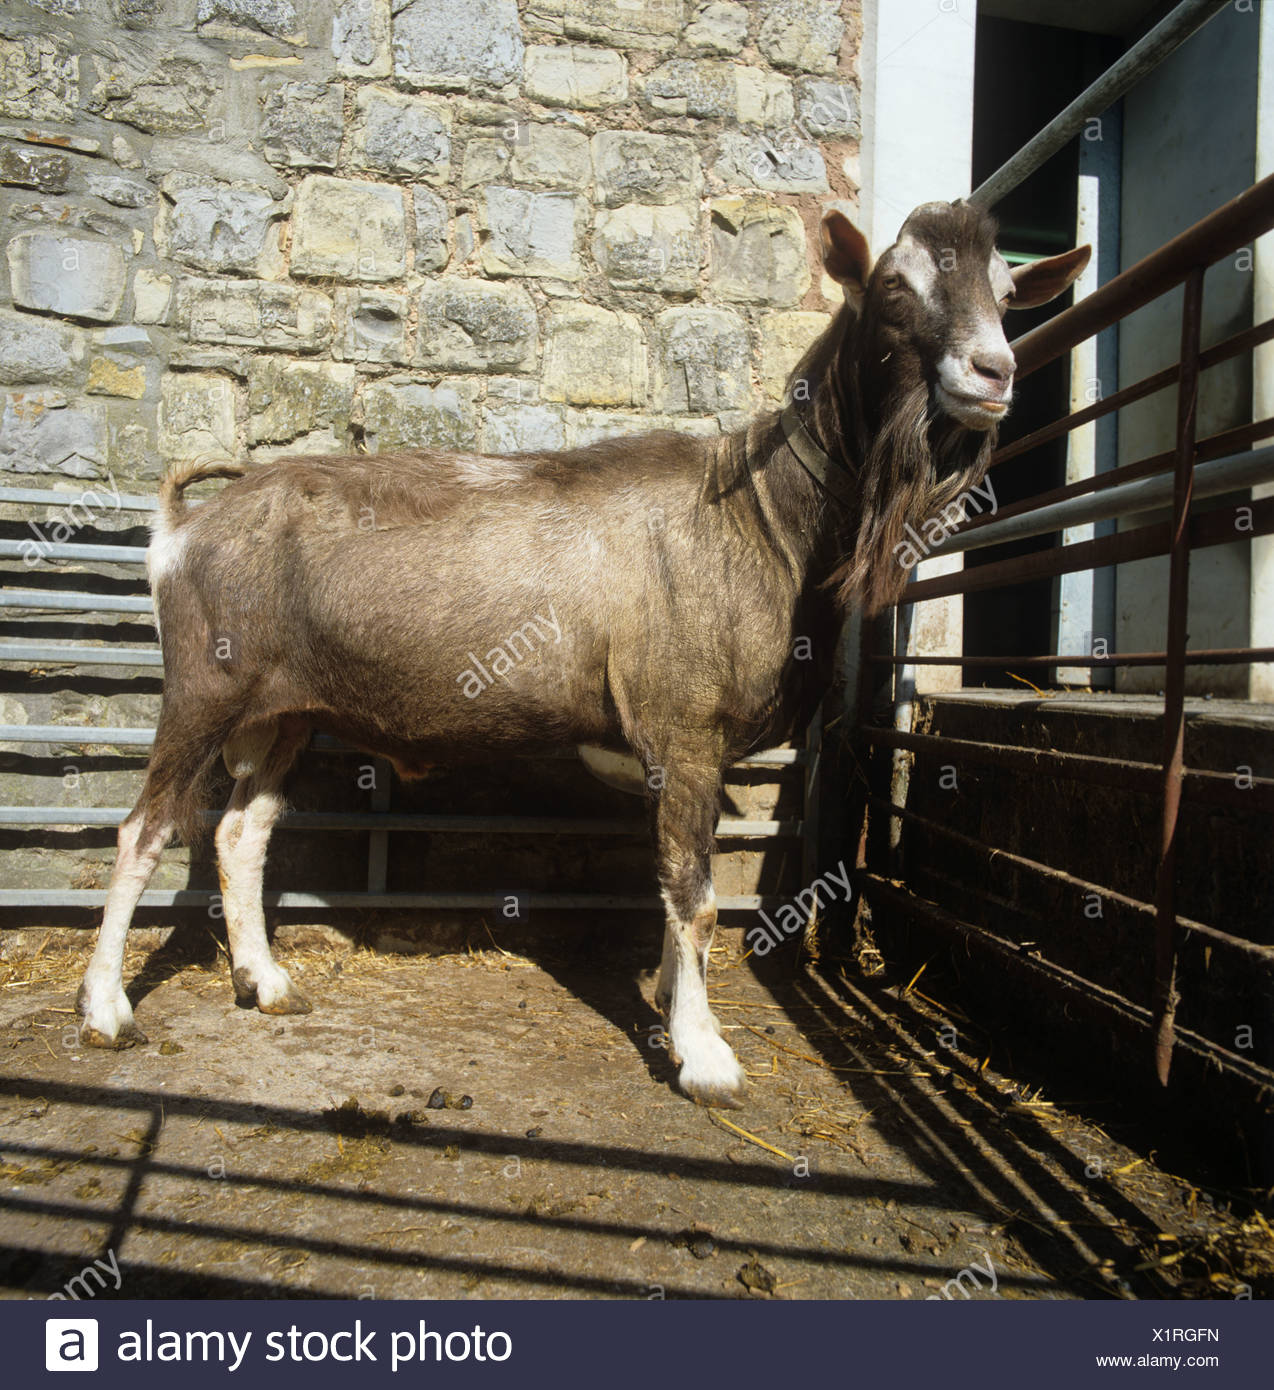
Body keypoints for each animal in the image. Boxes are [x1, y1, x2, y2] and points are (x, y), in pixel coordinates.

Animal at [76, 201, 1088, 1107]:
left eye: (1008, 294)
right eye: (892, 286)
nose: (994, 372)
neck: (763, 517)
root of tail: (182, 527)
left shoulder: (682, 753)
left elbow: (676, 890)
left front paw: (673, 1006)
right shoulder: (684, 730)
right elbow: (695, 895)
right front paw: (706, 1058)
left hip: (287, 710)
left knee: (240, 834)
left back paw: (266, 985)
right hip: (206, 687)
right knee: (143, 829)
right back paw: (106, 1010)